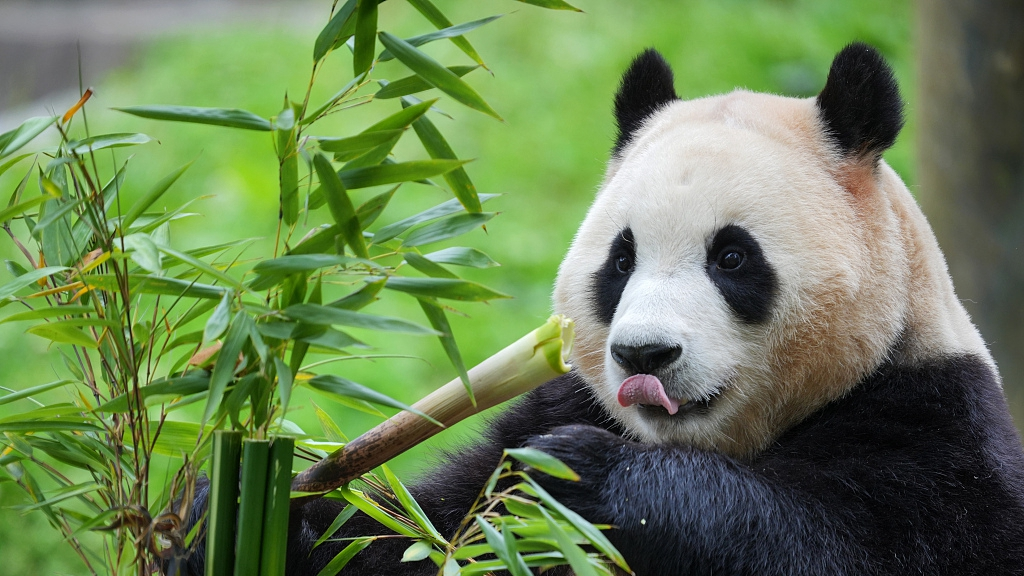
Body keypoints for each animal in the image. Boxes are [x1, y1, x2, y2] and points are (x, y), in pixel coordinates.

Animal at [185, 43, 1024, 575]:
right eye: (621, 261)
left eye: (732, 258)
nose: (644, 356)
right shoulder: (552, 403)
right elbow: (412, 539)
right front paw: (230, 511)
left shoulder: (932, 433)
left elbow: (835, 547)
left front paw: (580, 475)